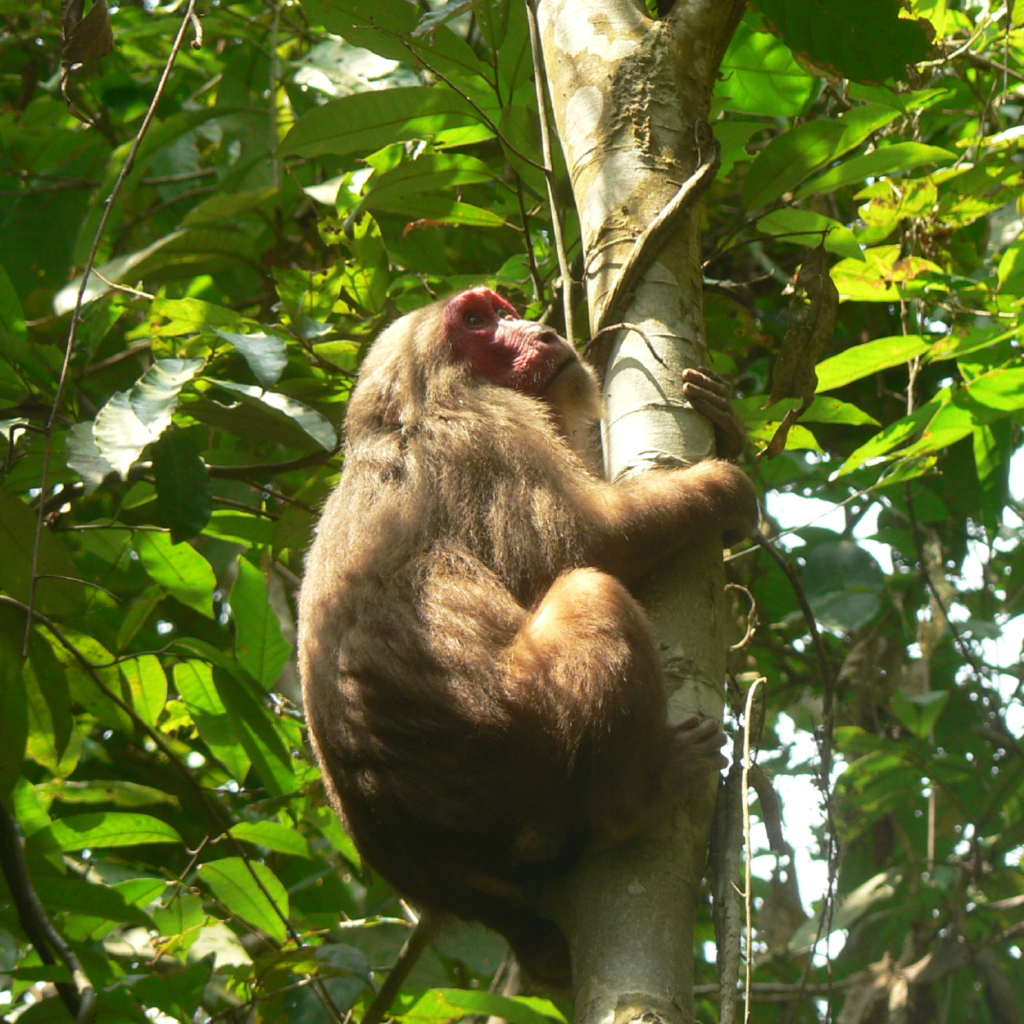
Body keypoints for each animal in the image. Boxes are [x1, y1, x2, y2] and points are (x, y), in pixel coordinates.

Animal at [298, 287, 758, 983]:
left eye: (502, 308)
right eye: (477, 321)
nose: (541, 331)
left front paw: (728, 426)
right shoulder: (485, 429)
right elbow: (588, 541)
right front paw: (723, 483)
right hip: (518, 746)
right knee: (589, 589)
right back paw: (634, 799)